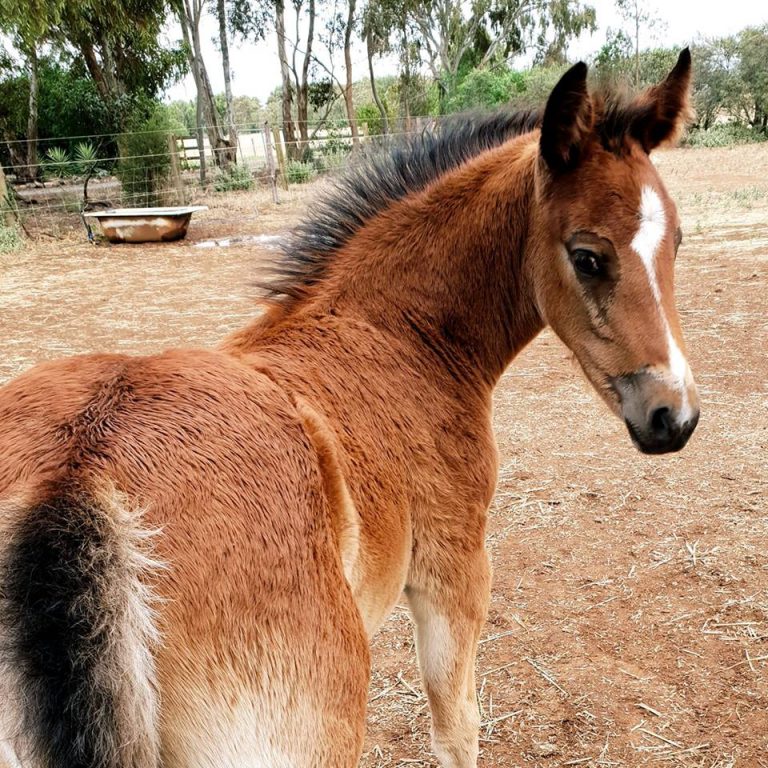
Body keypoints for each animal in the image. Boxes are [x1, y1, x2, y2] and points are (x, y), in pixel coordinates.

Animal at [0, 50, 699, 768]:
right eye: (587, 257)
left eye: (676, 241)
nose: (673, 416)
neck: (397, 332)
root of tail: (77, 476)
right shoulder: (454, 570)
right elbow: (457, 728)